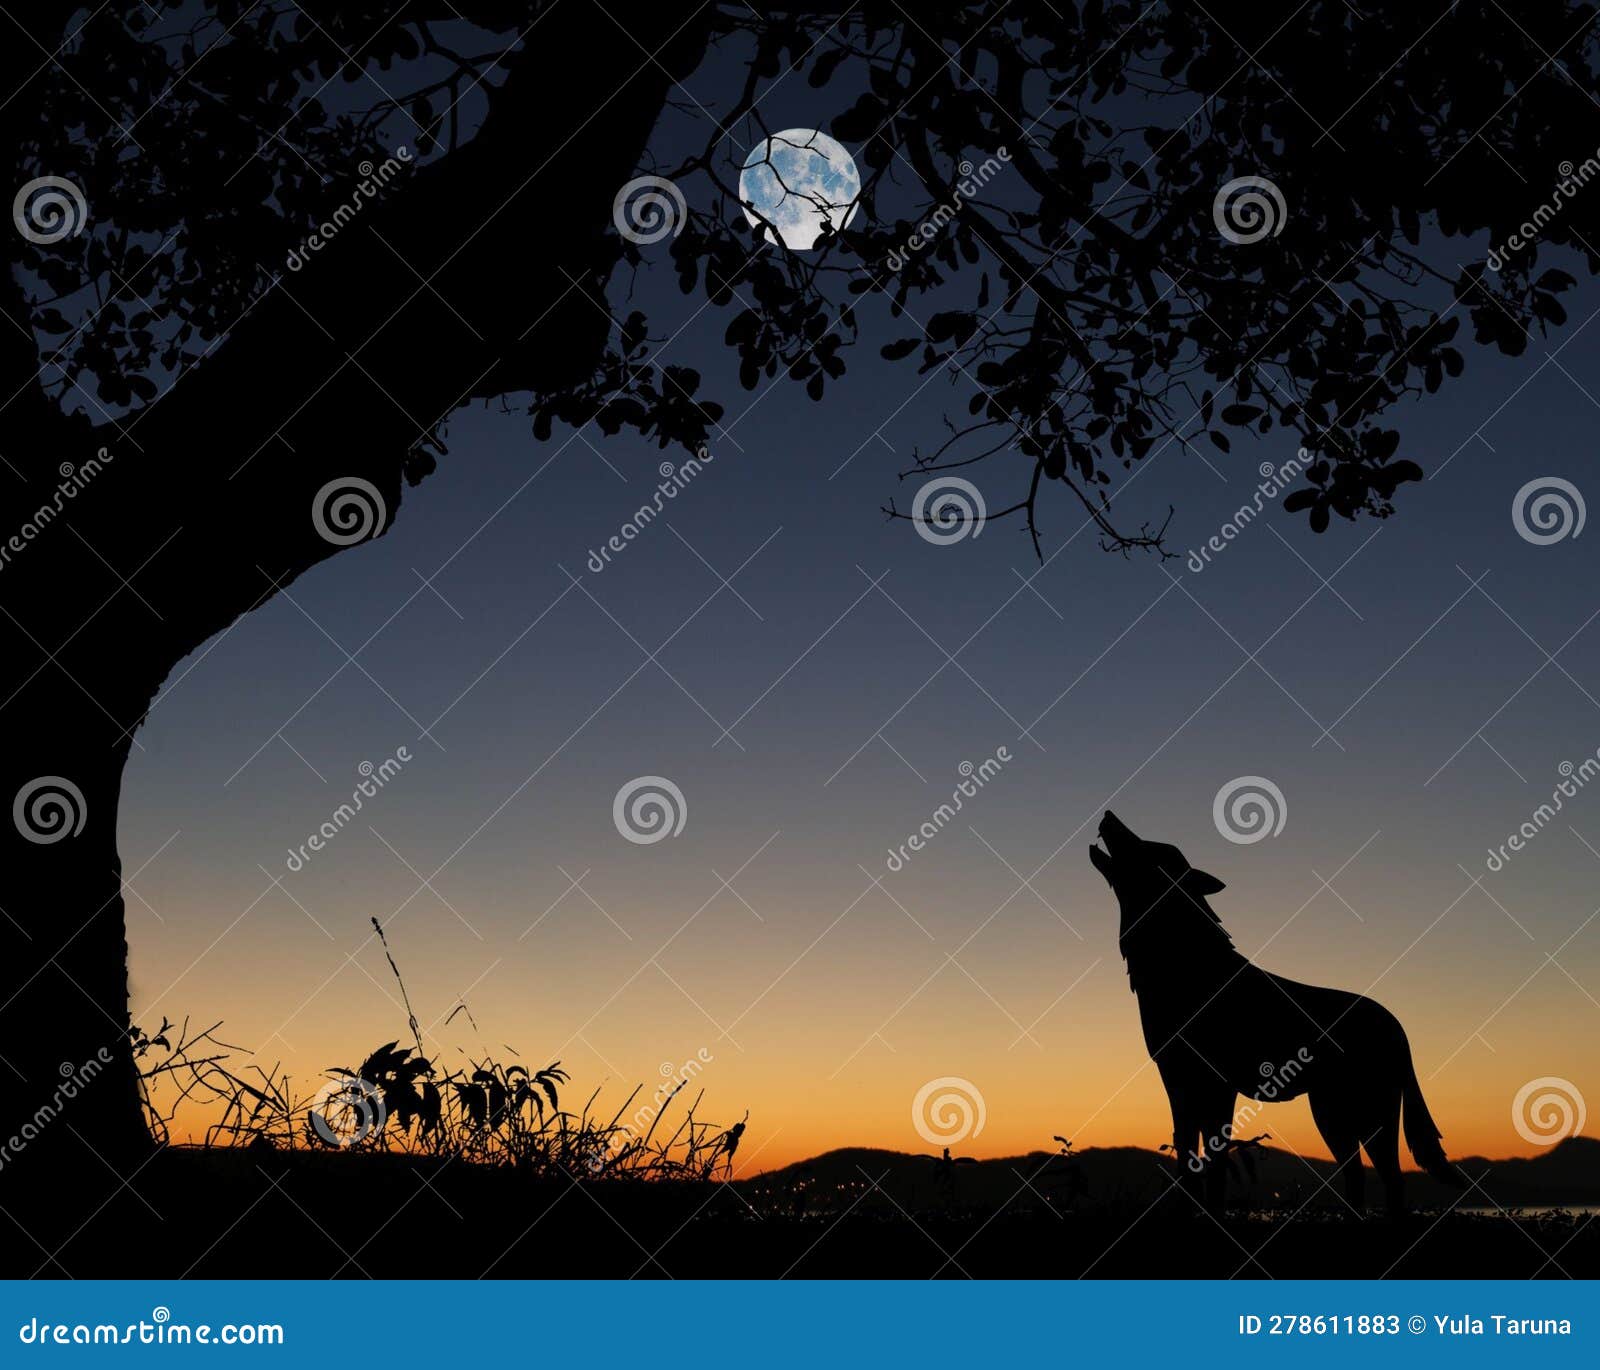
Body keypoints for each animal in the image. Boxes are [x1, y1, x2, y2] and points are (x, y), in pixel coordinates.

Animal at [1089, 810, 1464, 1214]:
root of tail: (1397, 1027)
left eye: (1149, 847)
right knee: (1357, 1176)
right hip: (1332, 1116)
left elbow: (1214, 1165)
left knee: (1391, 1179)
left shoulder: (1217, 1087)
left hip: (1368, 1116)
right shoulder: (1177, 1082)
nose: (1108, 814)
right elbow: (1188, 1160)